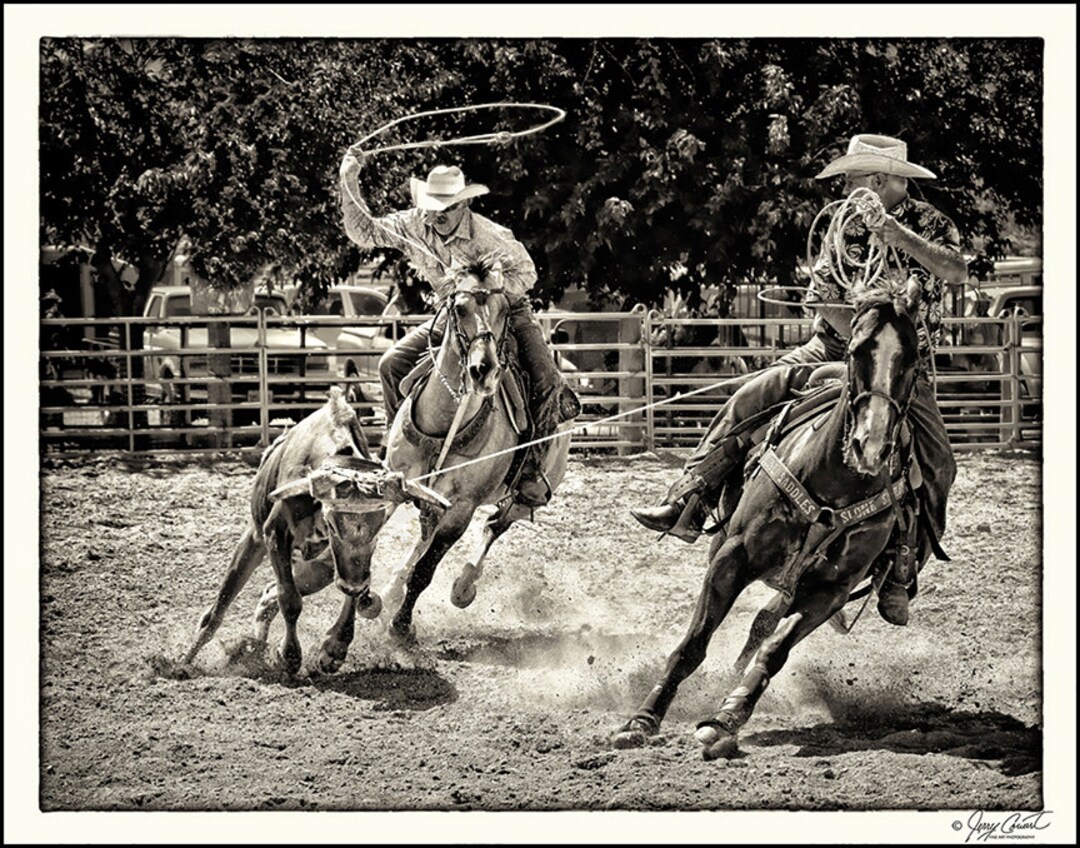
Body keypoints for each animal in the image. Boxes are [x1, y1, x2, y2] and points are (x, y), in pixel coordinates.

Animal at [612, 278, 928, 760]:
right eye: (857, 350)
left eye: (912, 357)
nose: (869, 447)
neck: (833, 483)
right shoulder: (732, 558)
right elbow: (692, 645)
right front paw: (642, 720)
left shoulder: (830, 590)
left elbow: (775, 650)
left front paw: (726, 718)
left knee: (764, 624)